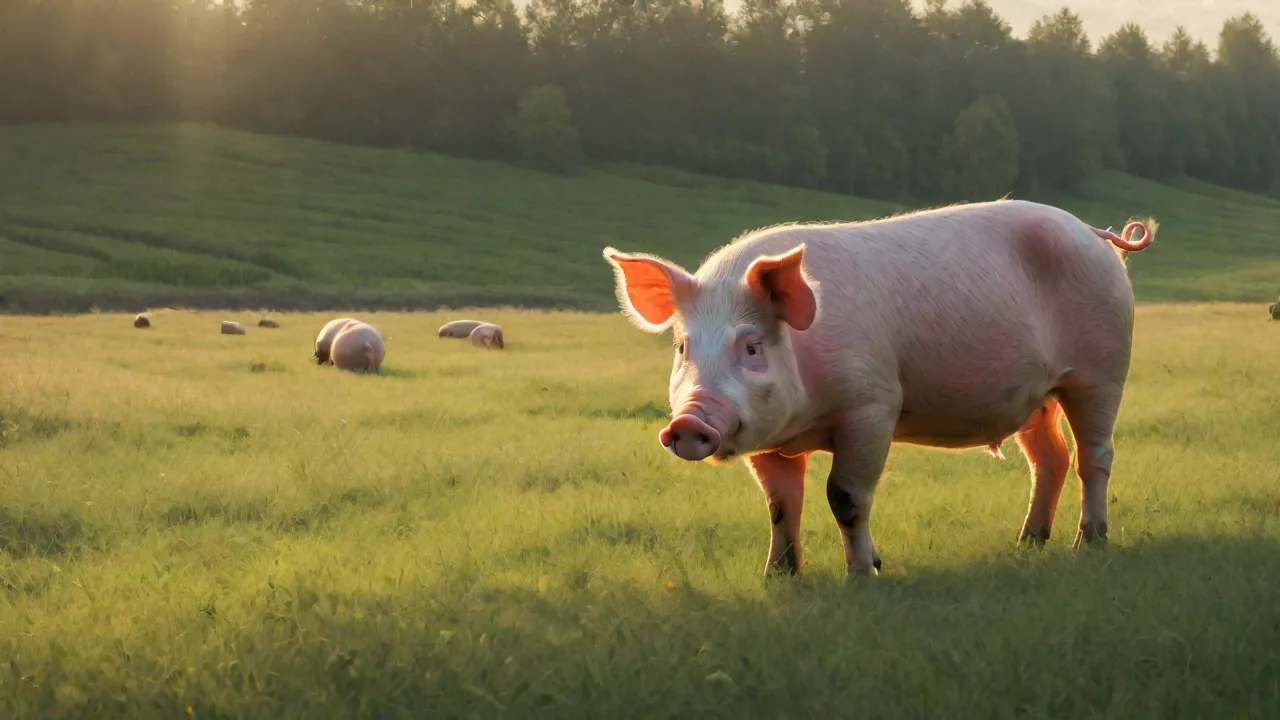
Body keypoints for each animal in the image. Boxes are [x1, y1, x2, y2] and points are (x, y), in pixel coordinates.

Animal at [603, 199, 1156, 580]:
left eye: (752, 346)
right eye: (682, 348)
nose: (688, 420)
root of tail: (1091, 231)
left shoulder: (872, 405)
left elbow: (845, 497)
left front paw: (864, 574)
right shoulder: (771, 439)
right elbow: (781, 505)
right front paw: (778, 577)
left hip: (1102, 368)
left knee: (1095, 456)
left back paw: (1091, 542)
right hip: (1036, 399)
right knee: (1051, 459)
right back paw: (1028, 543)